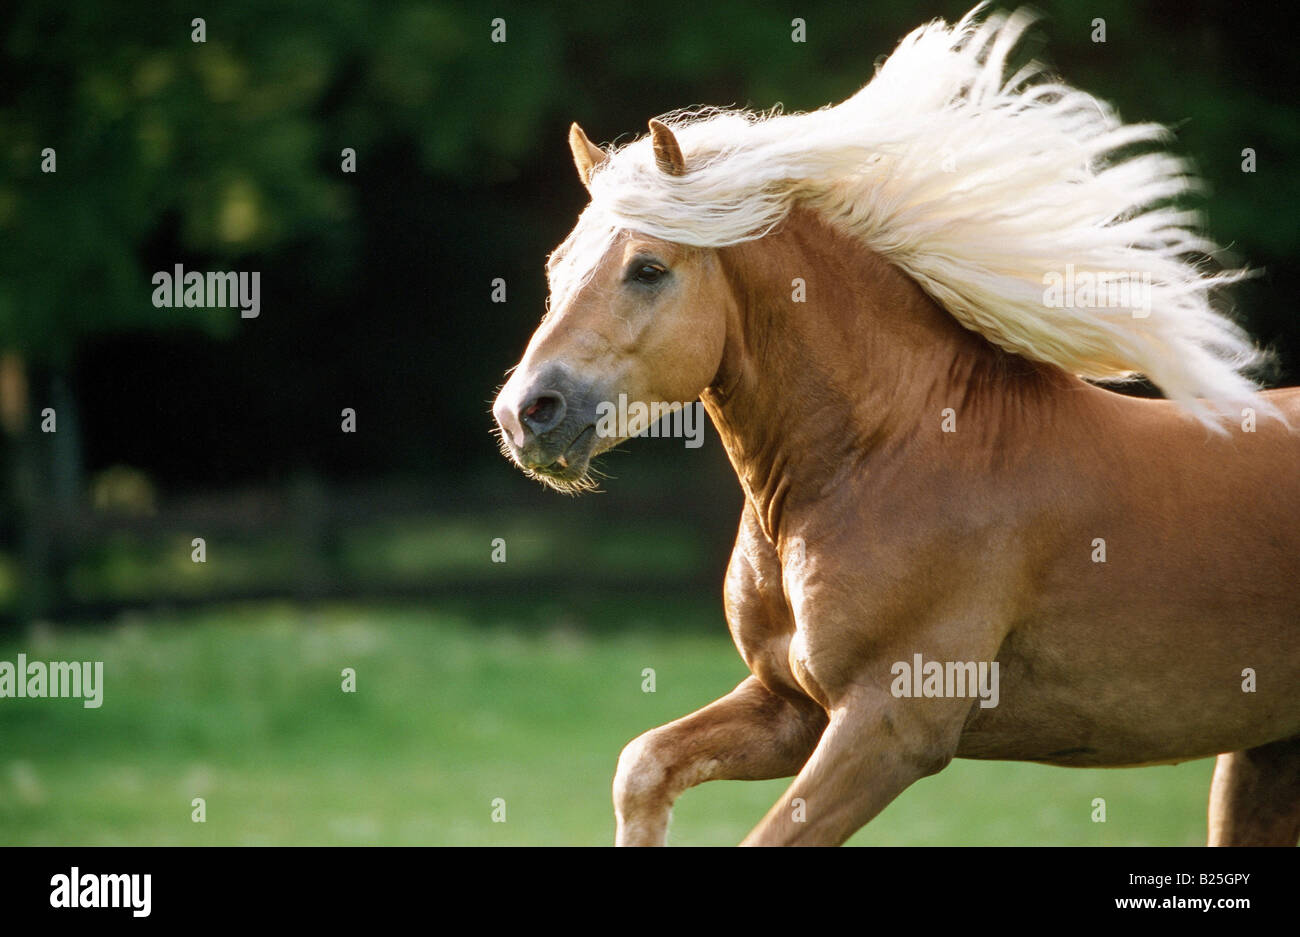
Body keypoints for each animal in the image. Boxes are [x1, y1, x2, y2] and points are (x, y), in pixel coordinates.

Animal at [492, 7, 1300, 845]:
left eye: (648, 268)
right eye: (557, 266)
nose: (527, 414)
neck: (887, 455)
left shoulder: (891, 726)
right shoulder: (792, 706)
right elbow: (642, 764)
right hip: (1265, 752)